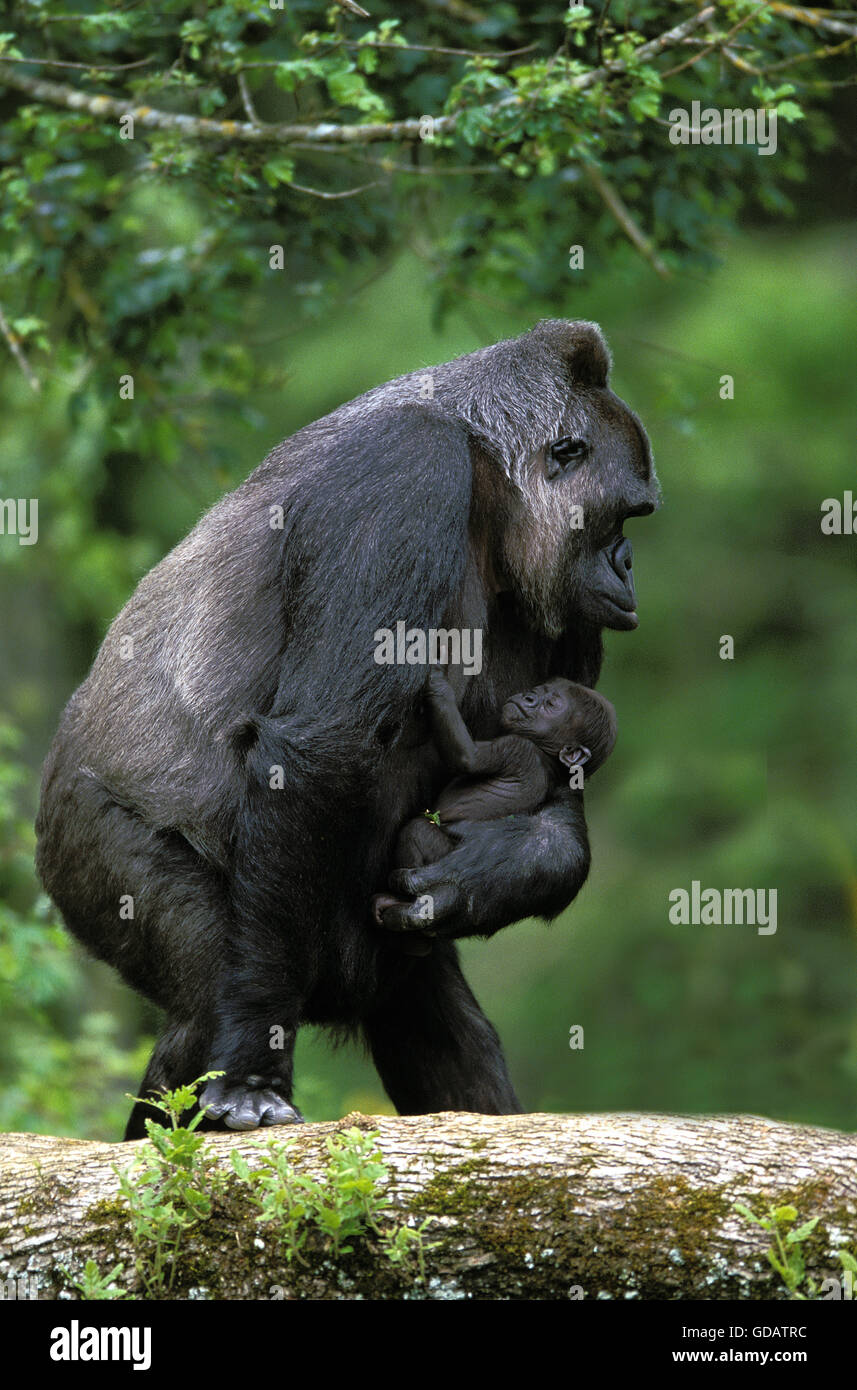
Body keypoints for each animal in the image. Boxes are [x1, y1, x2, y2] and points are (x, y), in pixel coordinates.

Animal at [372, 671, 617, 950]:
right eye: (539, 690)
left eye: (551, 705)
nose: (529, 696)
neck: (548, 756)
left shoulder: (515, 748)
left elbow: (468, 757)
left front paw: (439, 689)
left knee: (417, 832)